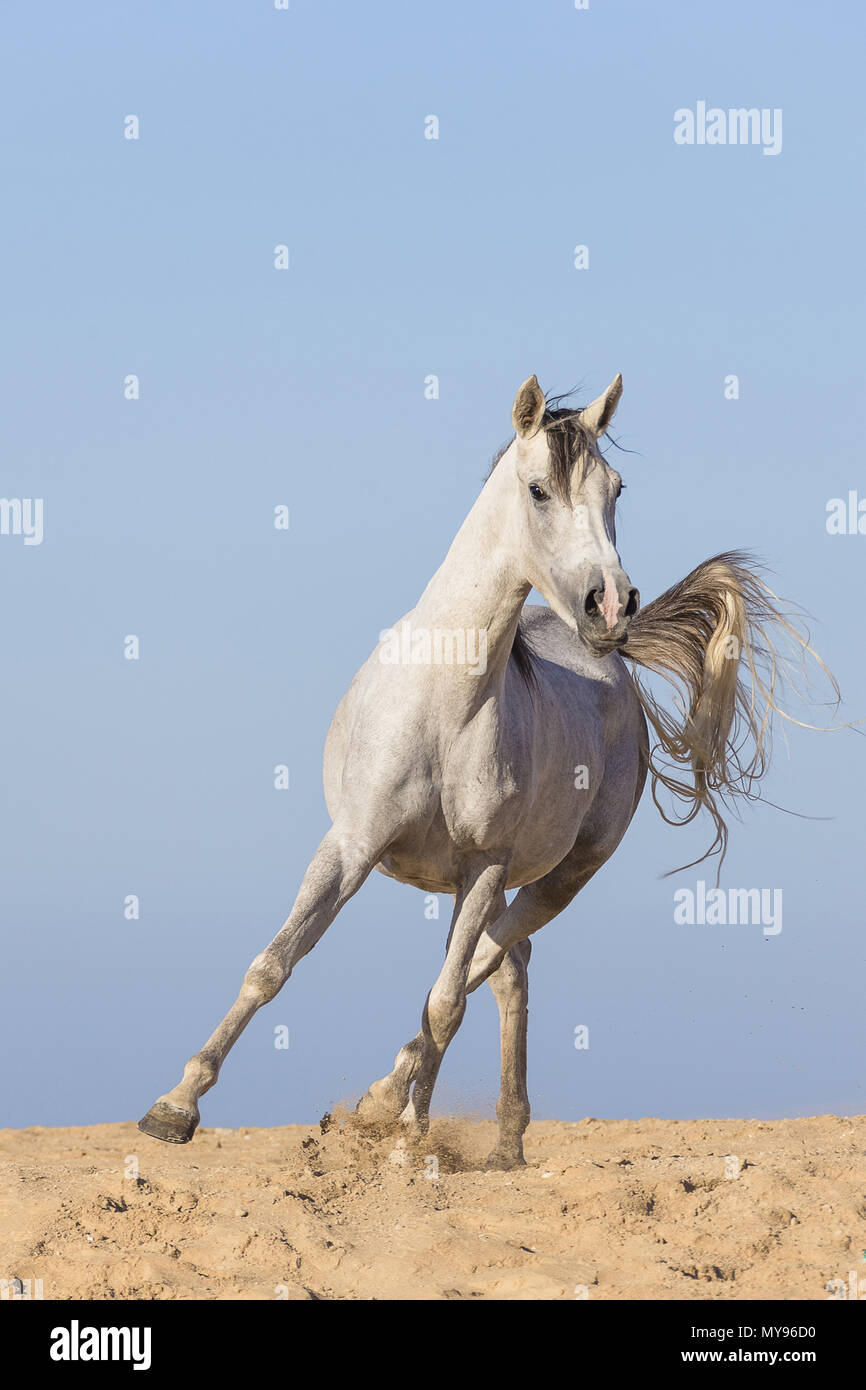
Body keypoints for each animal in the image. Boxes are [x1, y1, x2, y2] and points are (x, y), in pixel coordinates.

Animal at [138, 372, 824, 1170]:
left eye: (616, 488)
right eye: (538, 489)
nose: (612, 603)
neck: (444, 700)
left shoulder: (486, 864)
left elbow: (444, 1001)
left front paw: (397, 1130)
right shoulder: (351, 845)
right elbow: (273, 964)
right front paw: (174, 1107)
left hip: (552, 878)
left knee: (486, 969)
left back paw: (419, 1117)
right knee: (505, 966)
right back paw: (486, 1137)